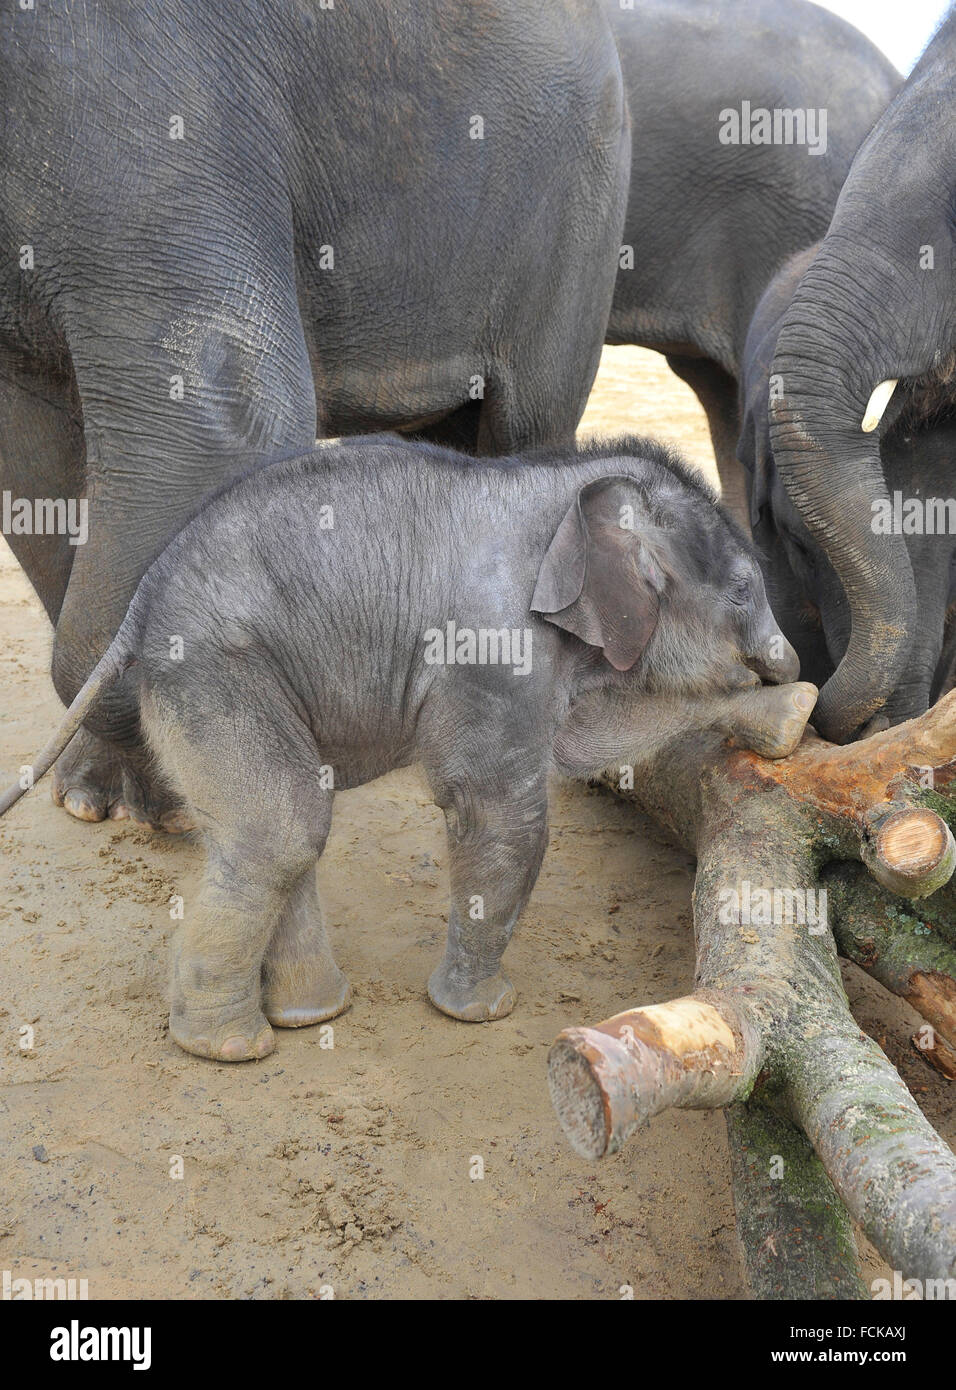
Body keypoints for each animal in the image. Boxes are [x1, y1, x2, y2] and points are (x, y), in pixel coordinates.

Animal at [0, 0, 629, 826]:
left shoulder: (141, 103)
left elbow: (225, 421)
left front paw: (188, 792)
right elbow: (30, 451)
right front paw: (98, 799)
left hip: (576, 212)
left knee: (531, 428)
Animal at [0, 434, 812, 1062]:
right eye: (744, 590)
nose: (792, 661)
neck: (564, 483)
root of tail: (138, 608)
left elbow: (591, 741)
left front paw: (789, 717)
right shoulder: (489, 647)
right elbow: (499, 809)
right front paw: (483, 1013)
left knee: (289, 824)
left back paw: (312, 1014)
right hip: (214, 671)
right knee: (281, 831)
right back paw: (233, 1047)